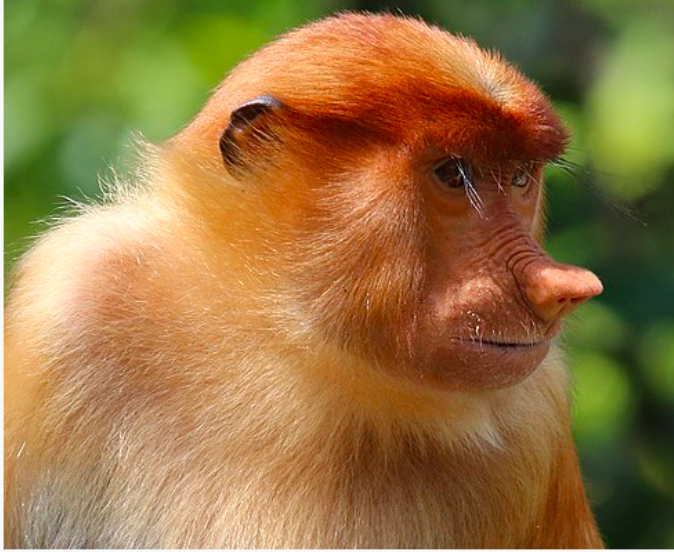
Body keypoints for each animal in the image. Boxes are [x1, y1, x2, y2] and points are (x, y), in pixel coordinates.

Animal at [4, 13, 605, 548]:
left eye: (520, 177)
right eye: (453, 174)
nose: (560, 287)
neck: (282, 351)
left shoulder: (537, 415)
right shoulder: (72, 302)